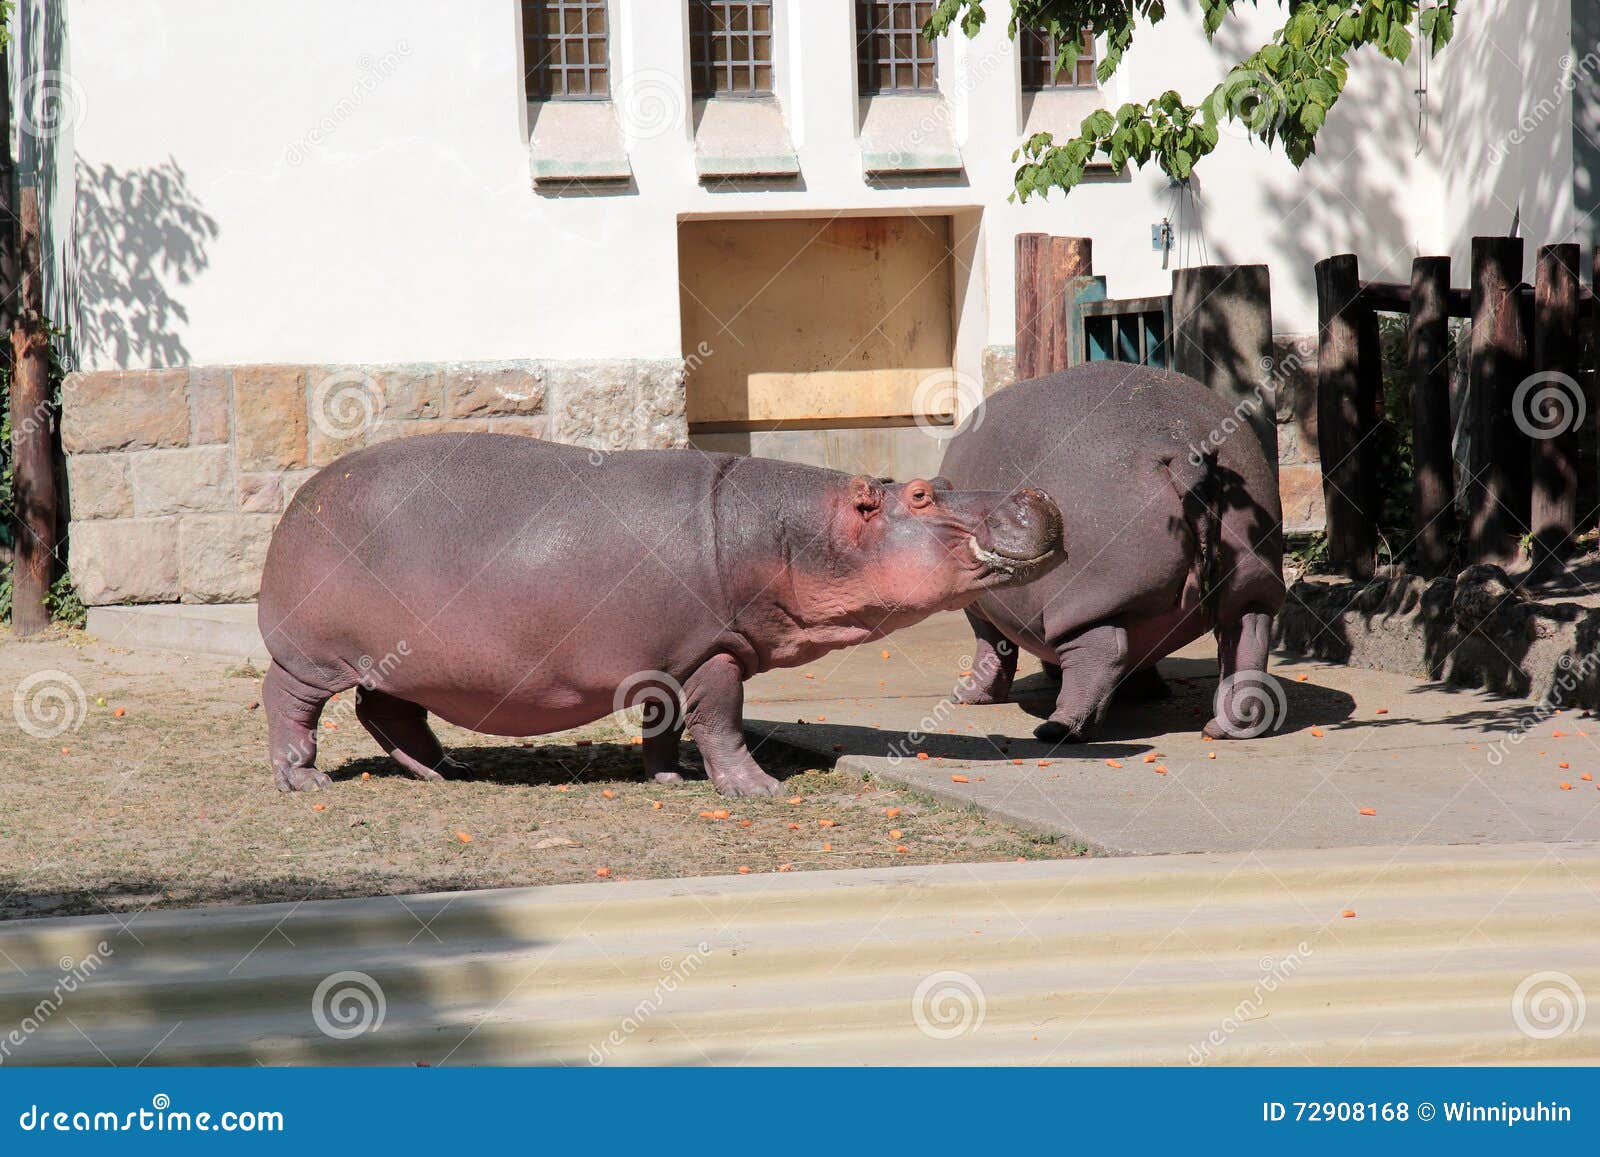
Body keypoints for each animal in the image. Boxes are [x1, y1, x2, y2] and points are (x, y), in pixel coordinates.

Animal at [257, 433, 1064, 797]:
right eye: (923, 495)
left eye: (941, 482)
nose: (1039, 494)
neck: (798, 535)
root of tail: (300, 499)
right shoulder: (714, 653)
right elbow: (721, 722)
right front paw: (757, 790)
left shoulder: (667, 659)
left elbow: (665, 723)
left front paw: (669, 778)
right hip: (312, 654)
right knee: (288, 701)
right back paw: (305, 782)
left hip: (404, 660)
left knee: (385, 710)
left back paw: (444, 770)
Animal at [939, 362, 1284, 742]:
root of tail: (1183, 447)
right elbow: (1142, 654)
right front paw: (1147, 691)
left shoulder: (978, 607)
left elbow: (991, 650)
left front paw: (968, 697)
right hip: (1251, 580)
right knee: (1247, 640)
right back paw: (1226, 729)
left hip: (1087, 598)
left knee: (1102, 652)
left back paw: (1057, 729)